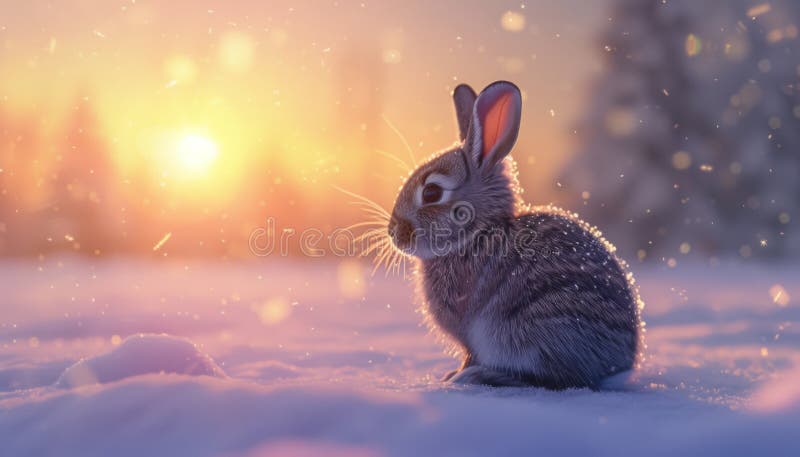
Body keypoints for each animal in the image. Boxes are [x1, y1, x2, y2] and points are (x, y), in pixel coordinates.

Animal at [387, 81, 643, 389]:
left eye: (432, 193)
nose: (393, 232)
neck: (476, 234)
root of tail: (617, 365)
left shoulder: (470, 334)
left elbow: (470, 354)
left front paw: (455, 376)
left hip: (529, 330)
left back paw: (480, 376)